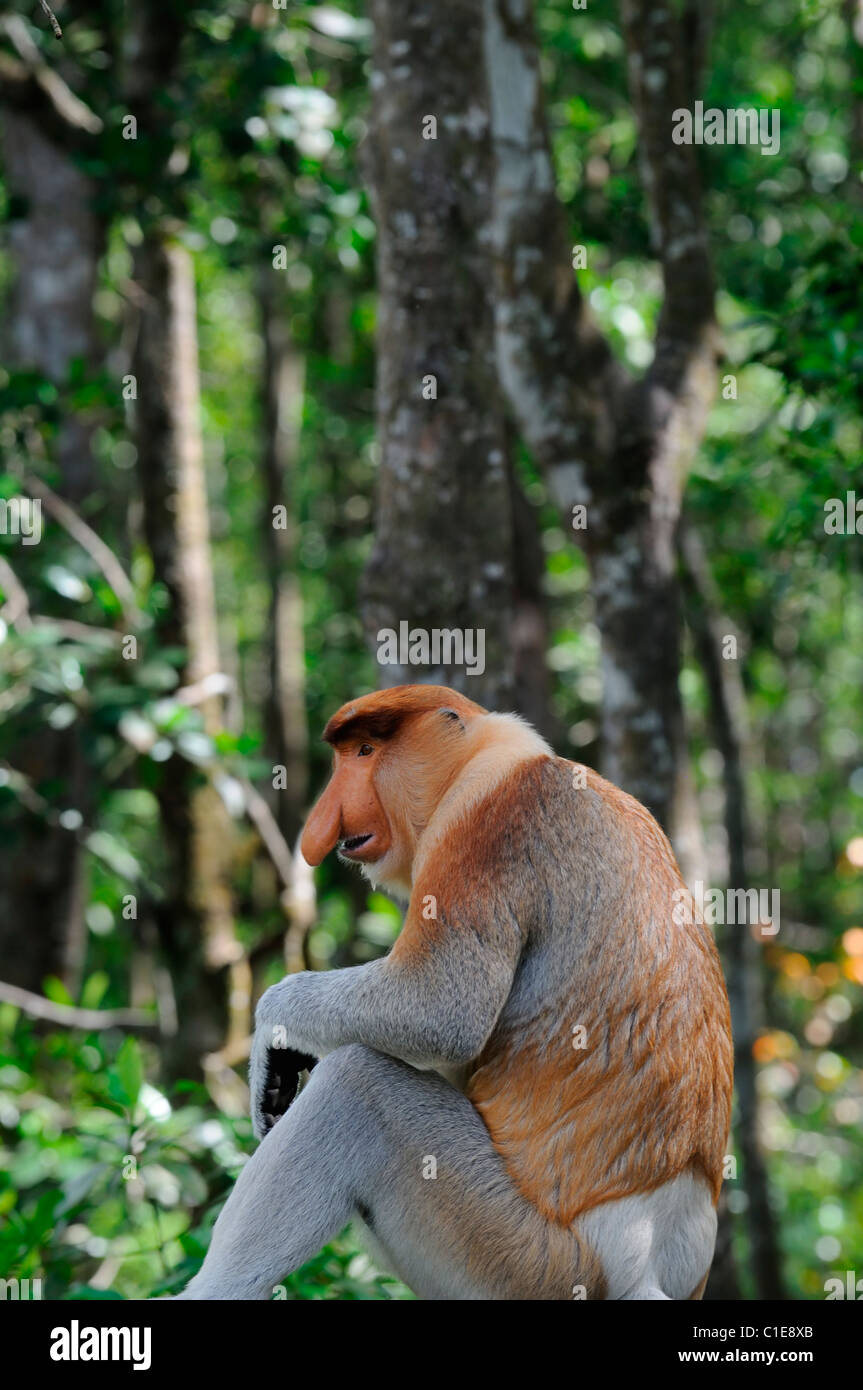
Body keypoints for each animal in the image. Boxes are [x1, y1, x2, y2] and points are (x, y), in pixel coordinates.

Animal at [173, 684, 733, 1301]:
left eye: (366, 751)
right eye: (346, 755)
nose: (323, 824)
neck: (488, 755)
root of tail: (652, 1267)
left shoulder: (484, 825)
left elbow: (440, 1008)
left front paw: (273, 1035)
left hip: (528, 1260)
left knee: (358, 1085)